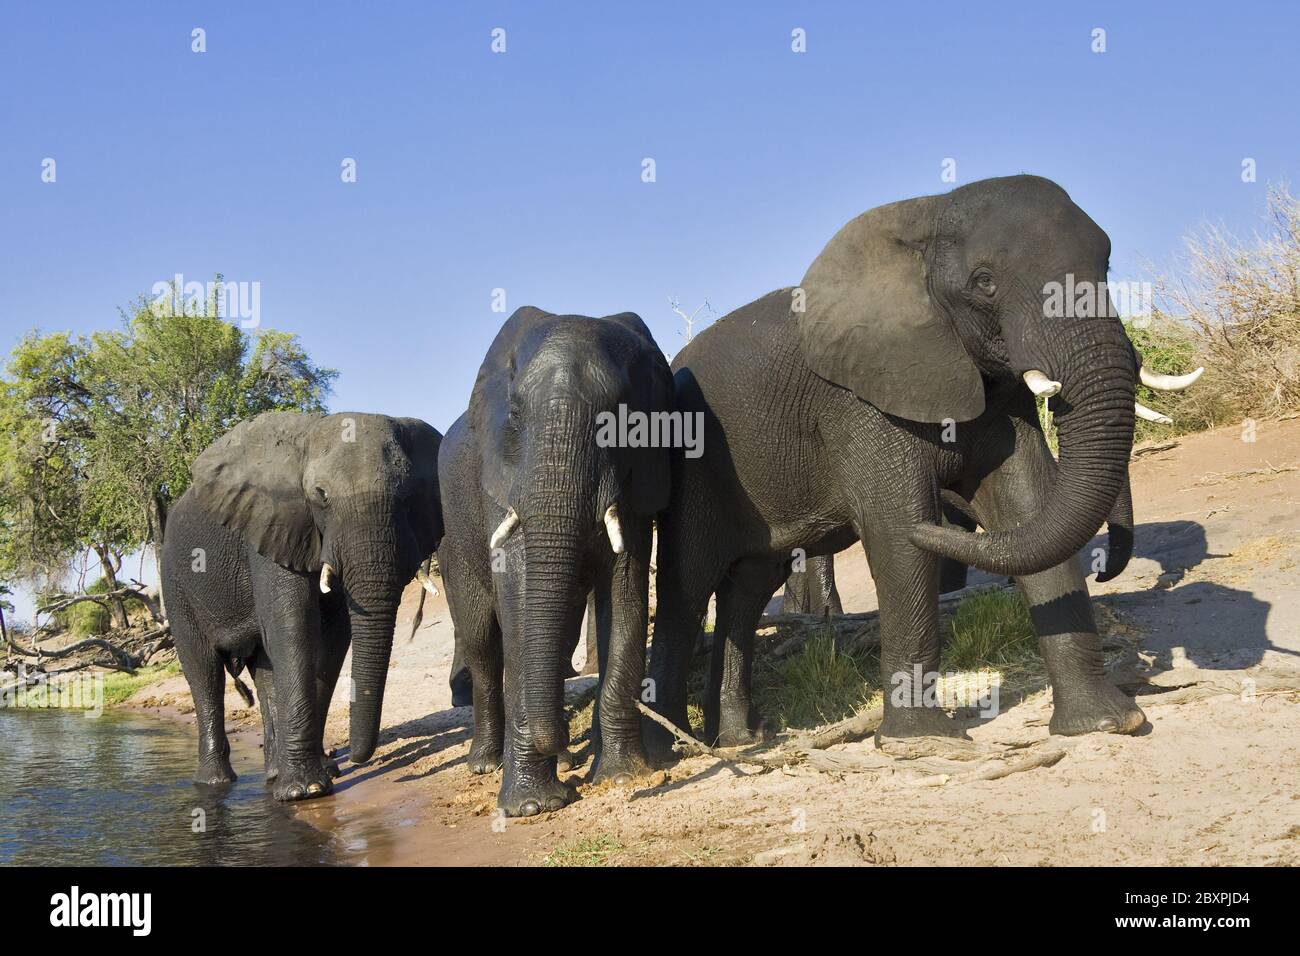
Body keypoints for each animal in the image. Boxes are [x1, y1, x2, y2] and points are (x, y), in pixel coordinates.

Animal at [161, 411, 443, 801]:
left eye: (406, 495)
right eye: (320, 496)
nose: (353, 758)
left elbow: (333, 637)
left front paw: (319, 777)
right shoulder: (272, 527)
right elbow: (293, 628)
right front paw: (303, 791)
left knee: (263, 670)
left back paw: (274, 772)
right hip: (175, 583)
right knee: (203, 670)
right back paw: (215, 784)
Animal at [438, 307, 673, 816]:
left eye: (621, 418)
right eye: (516, 416)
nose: (561, 741)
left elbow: (624, 589)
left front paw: (624, 776)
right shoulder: (502, 478)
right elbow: (519, 591)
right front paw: (532, 806)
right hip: (452, 543)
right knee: (482, 643)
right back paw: (484, 764)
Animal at [646, 174, 1198, 755]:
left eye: (1107, 266)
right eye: (984, 282)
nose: (1110, 570)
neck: (925, 220)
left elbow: (1027, 507)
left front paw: (1107, 724)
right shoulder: (860, 400)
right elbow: (896, 528)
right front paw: (923, 744)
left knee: (748, 590)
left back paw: (737, 738)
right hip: (694, 469)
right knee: (688, 591)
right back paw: (668, 751)